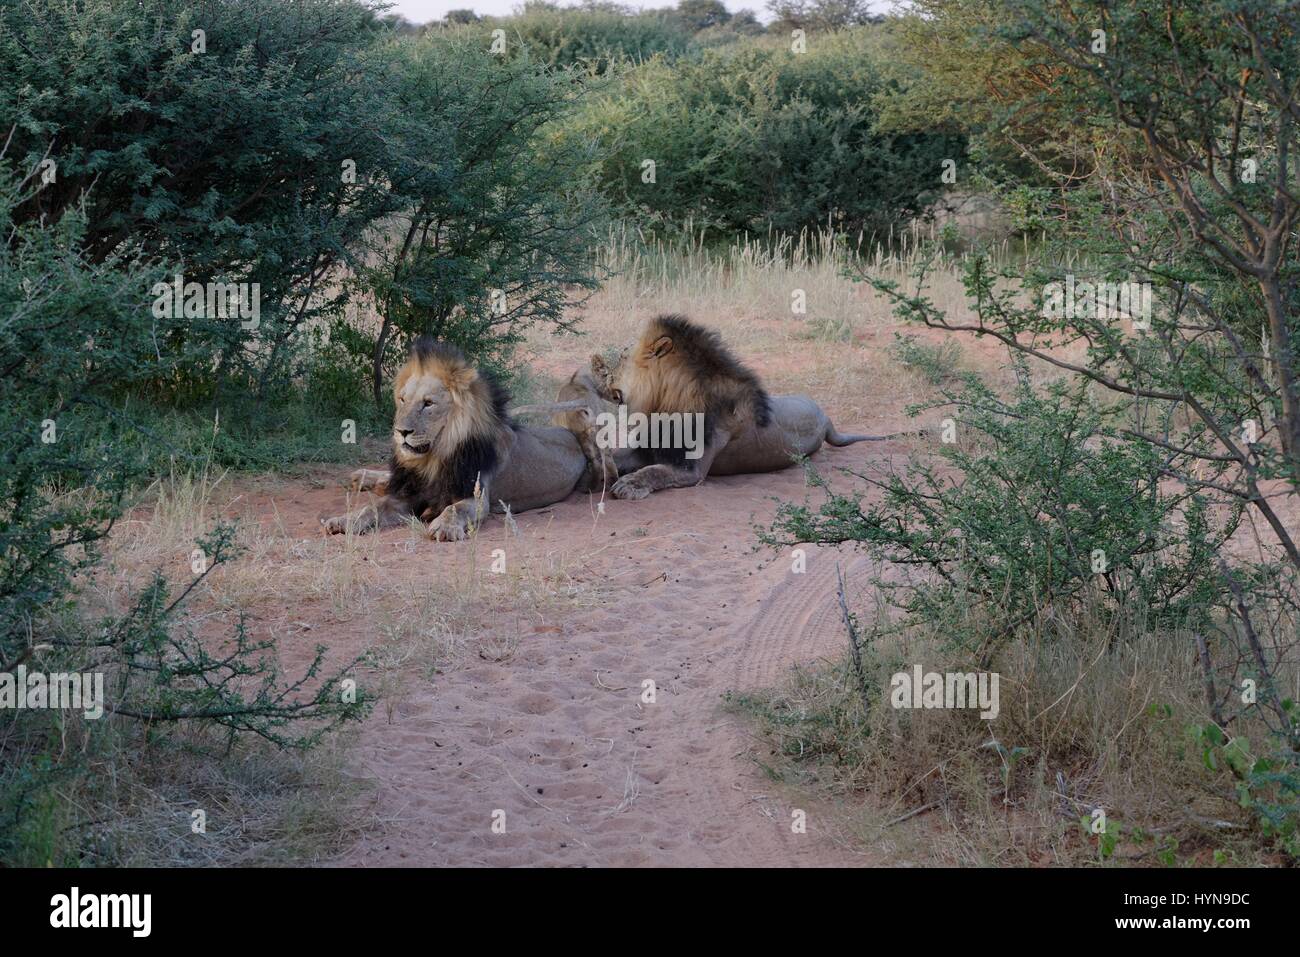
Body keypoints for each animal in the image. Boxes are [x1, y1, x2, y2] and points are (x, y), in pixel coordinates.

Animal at [322, 337, 593, 541]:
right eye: (402, 399)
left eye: (428, 403)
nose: (400, 431)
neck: (434, 458)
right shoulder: (407, 493)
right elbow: (372, 507)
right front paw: (343, 520)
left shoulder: (477, 497)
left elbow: (455, 508)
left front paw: (444, 526)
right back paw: (361, 477)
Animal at [588, 313, 890, 499]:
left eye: (623, 356)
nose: (597, 365)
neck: (665, 402)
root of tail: (826, 419)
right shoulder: (647, 448)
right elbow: (617, 456)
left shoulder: (691, 470)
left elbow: (655, 471)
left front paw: (629, 484)